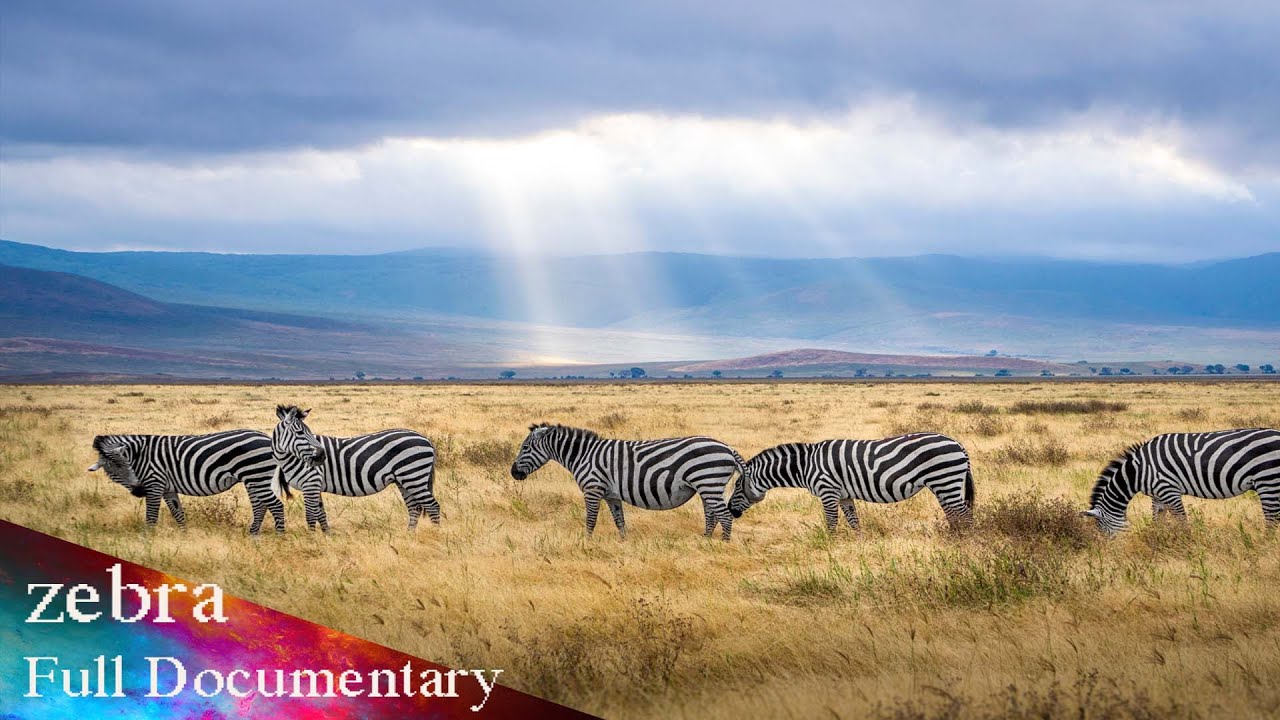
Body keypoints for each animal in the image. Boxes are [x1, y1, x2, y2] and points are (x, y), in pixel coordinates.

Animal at [87, 430, 285, 534]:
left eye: (127, 465)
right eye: (113, 471)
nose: (138, 491)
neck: (140, 456)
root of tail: (267, 438)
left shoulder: (154, 483)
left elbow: (151, 516)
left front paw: (147, 538)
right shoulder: (167, 488)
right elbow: (178, 512)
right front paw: (184, 534)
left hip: (256, 476)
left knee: (276, 506)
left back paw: (279, 536)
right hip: (253, 479)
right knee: (260, 506)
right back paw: (253, 534)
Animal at [272, 405, 440, 532]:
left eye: (309, 432)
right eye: (300, 432)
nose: (322, 456)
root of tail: (426, 439)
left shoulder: (311, 483)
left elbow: (311, 515)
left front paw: (312, 539)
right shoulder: (315, 486)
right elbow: (321, 514)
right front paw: (327, 537)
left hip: (413, 476)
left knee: (433, 506)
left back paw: (436, 533)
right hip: (404, 480)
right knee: (414, 508)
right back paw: (409, 535)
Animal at [509, 423, 746, 540]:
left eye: (525, 448)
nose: (513, 473)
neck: (583, 455)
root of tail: (727, 447)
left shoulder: (593, 489)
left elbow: (591, 520)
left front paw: (586, 542)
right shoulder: (611, 495)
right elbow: (619, 520)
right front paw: (623, 543)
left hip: (708, 482)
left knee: (724, 516)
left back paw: (723, 544)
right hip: (707, 486)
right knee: (712, 515)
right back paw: (705, 541)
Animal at [729, 433, 975, 533]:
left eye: (737, 486)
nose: (731, 510)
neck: (805, 465)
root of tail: (957, 443)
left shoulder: (828, 492)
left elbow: (831, 523)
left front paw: (829, 547)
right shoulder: (844, 495)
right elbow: (854, 522)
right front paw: (859, 545)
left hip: (945, 479)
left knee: (964, 514)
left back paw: (967, 541)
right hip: (943, 484)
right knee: (954, 514)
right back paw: (954, 538)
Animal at [1082, 428, 1280, 534]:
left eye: (1102, 529)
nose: (1109, 551)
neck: (1138, 471)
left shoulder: (1169, 490)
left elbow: (1181, 520)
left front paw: (1187, 543)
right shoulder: (1157, 495)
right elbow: (1157, 519)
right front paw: (1157, 539)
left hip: (1268, 480)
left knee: (1272, 520)